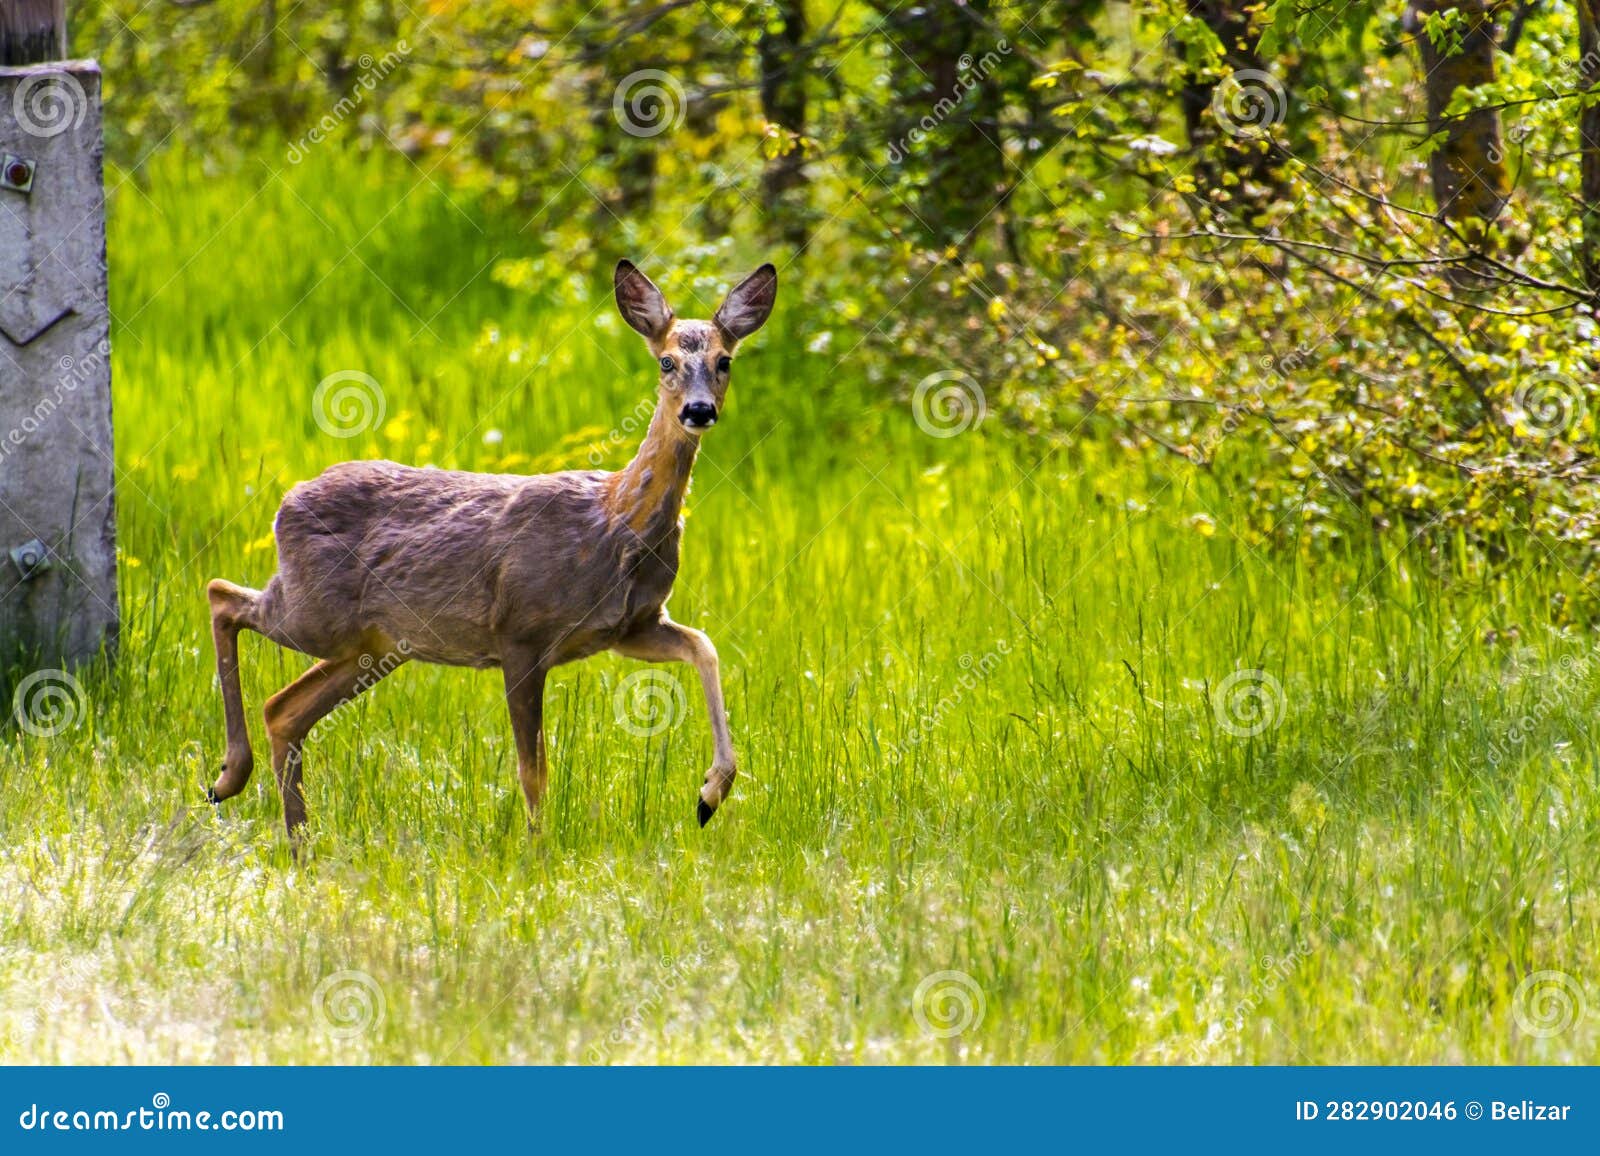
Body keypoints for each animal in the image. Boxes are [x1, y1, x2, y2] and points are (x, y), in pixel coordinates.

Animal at [203, 259, 777, 839]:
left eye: (724, 360)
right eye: (667, 361)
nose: (699, 410)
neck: (615, 520)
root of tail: (286, 502)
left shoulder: (631, 627)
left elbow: (703, 645)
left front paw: (710, 793)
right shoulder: (520, 632)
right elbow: (533, 771)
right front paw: (538, 851)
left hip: (374, 645)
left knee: (283, 708)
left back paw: (294, 837)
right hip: (315, 611)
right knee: (222, 595)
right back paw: (229, 779)